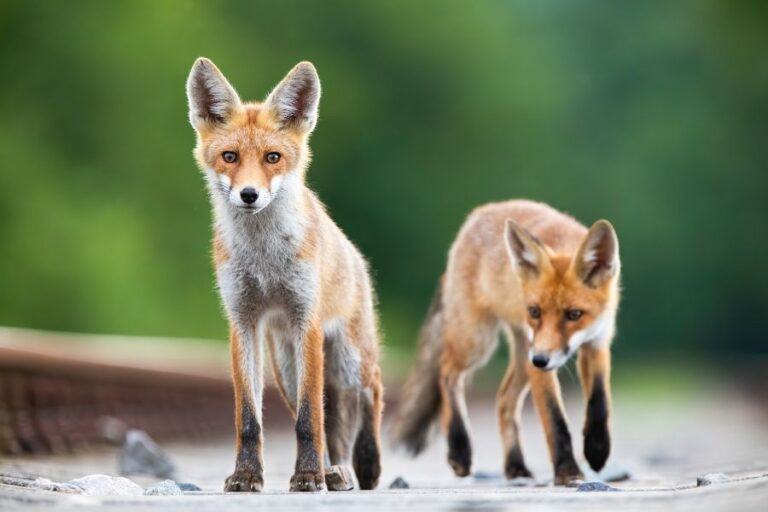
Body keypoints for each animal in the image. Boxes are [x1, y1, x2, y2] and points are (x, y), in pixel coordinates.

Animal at [186, 58, 383, 492]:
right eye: (230, 156)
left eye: (272, 157)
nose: (249, 195)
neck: (265, 261)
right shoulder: (243, 321)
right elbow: (249, 419)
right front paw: (247, 475)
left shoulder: (305, 318)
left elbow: (310, 420)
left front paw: (307, 477)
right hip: (285, 365)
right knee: (324, 419)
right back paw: (335, 470)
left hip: (348, 359)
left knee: (371, 389)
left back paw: (366, 463)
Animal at [393, 199, 620, 485]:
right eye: (535, 311)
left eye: (574, 314)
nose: (541, 360)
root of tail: (479, 213)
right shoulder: (540, 361)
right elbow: (555, 419)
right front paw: (567, 471)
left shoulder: (598, 341)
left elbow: (600, 401)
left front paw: (597, 450)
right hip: (479, 341)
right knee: (447, 372)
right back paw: (459, 450)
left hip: (522, 355)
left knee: (504, 400)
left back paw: (515, 466)